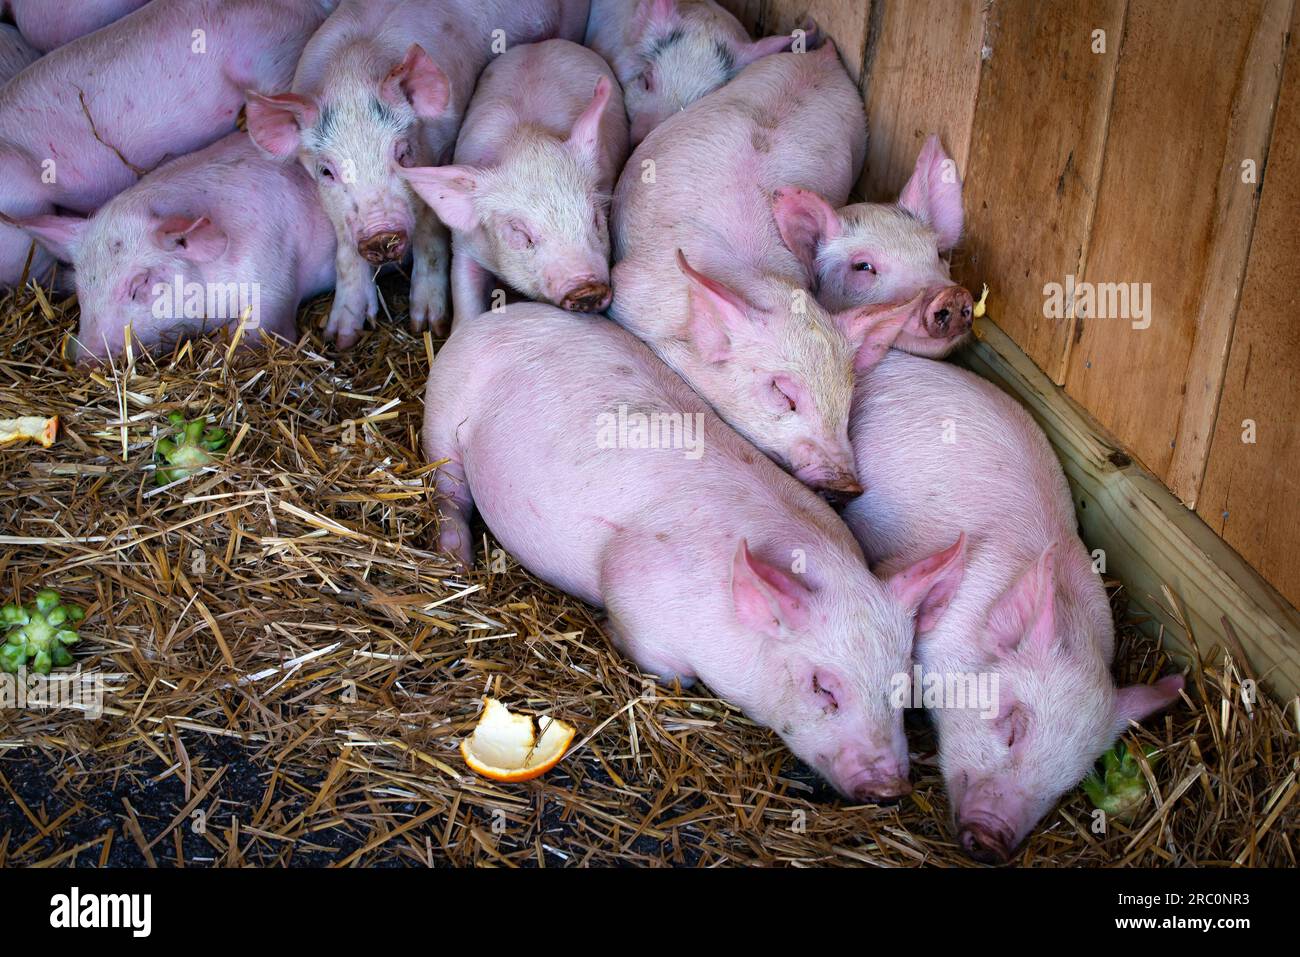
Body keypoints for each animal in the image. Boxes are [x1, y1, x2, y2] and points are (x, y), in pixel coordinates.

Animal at [245, 0, 591, 349]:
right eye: (327, 171)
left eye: (402, 153)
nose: (381, 233)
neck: (352, 72)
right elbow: (345, 248)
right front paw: (341, 338)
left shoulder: (445, 148)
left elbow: (431, 230)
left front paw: (427, 324)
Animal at [400, 40, 627, 329]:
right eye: (520, 232)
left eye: (596, 218)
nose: (587, 288)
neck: (525, 138)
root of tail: (540, 43)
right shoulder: (465, 244)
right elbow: (464, 290)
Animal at [424, 302, 967, 800]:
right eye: (823, 687)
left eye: (904, 689)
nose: (889, 787)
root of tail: (494, 316)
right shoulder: (634, 588)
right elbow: (664, 665)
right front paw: (608, 633)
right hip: (444, 414)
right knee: (447, 491)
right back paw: (457, 559)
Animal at [612, 45, 906, 496]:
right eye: (783, 393)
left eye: (848, 397)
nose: (847, 484)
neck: (753, 274)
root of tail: (823, 55)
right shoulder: (629, 295)